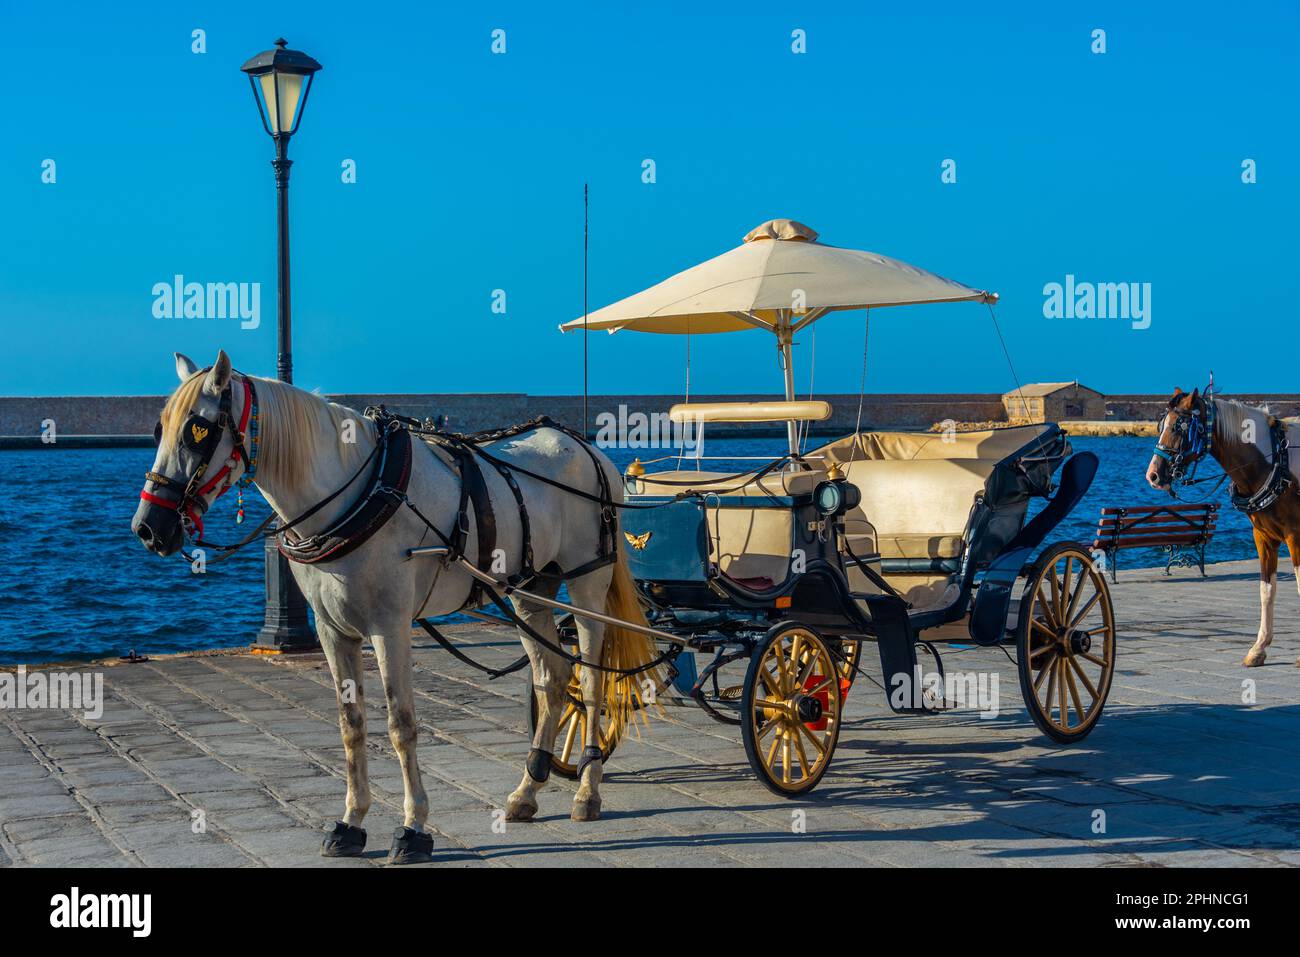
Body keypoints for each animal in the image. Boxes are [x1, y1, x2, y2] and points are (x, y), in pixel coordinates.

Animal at [130, 350, 661, 863]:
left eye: (198, 429)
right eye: (157, 429)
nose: (148, 527)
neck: (353, 491)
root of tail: (587, 446)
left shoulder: (390, 626)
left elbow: (401, 725)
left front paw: (413, 828)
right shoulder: (332, 630)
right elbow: (351, 724)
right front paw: (350, 823)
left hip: (587, 585)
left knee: (590, 683)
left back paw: (587, 792)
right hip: (530, 591)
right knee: (552, 681)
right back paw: (526, 792)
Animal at [1146, 387, 1300, 668]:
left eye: (1179, 427)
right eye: (1161, 426)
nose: (1152, 475)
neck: (1274, 460)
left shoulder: (1295, 536)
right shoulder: (1263, 536)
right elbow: (1266, 590)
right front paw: (1258, 648)